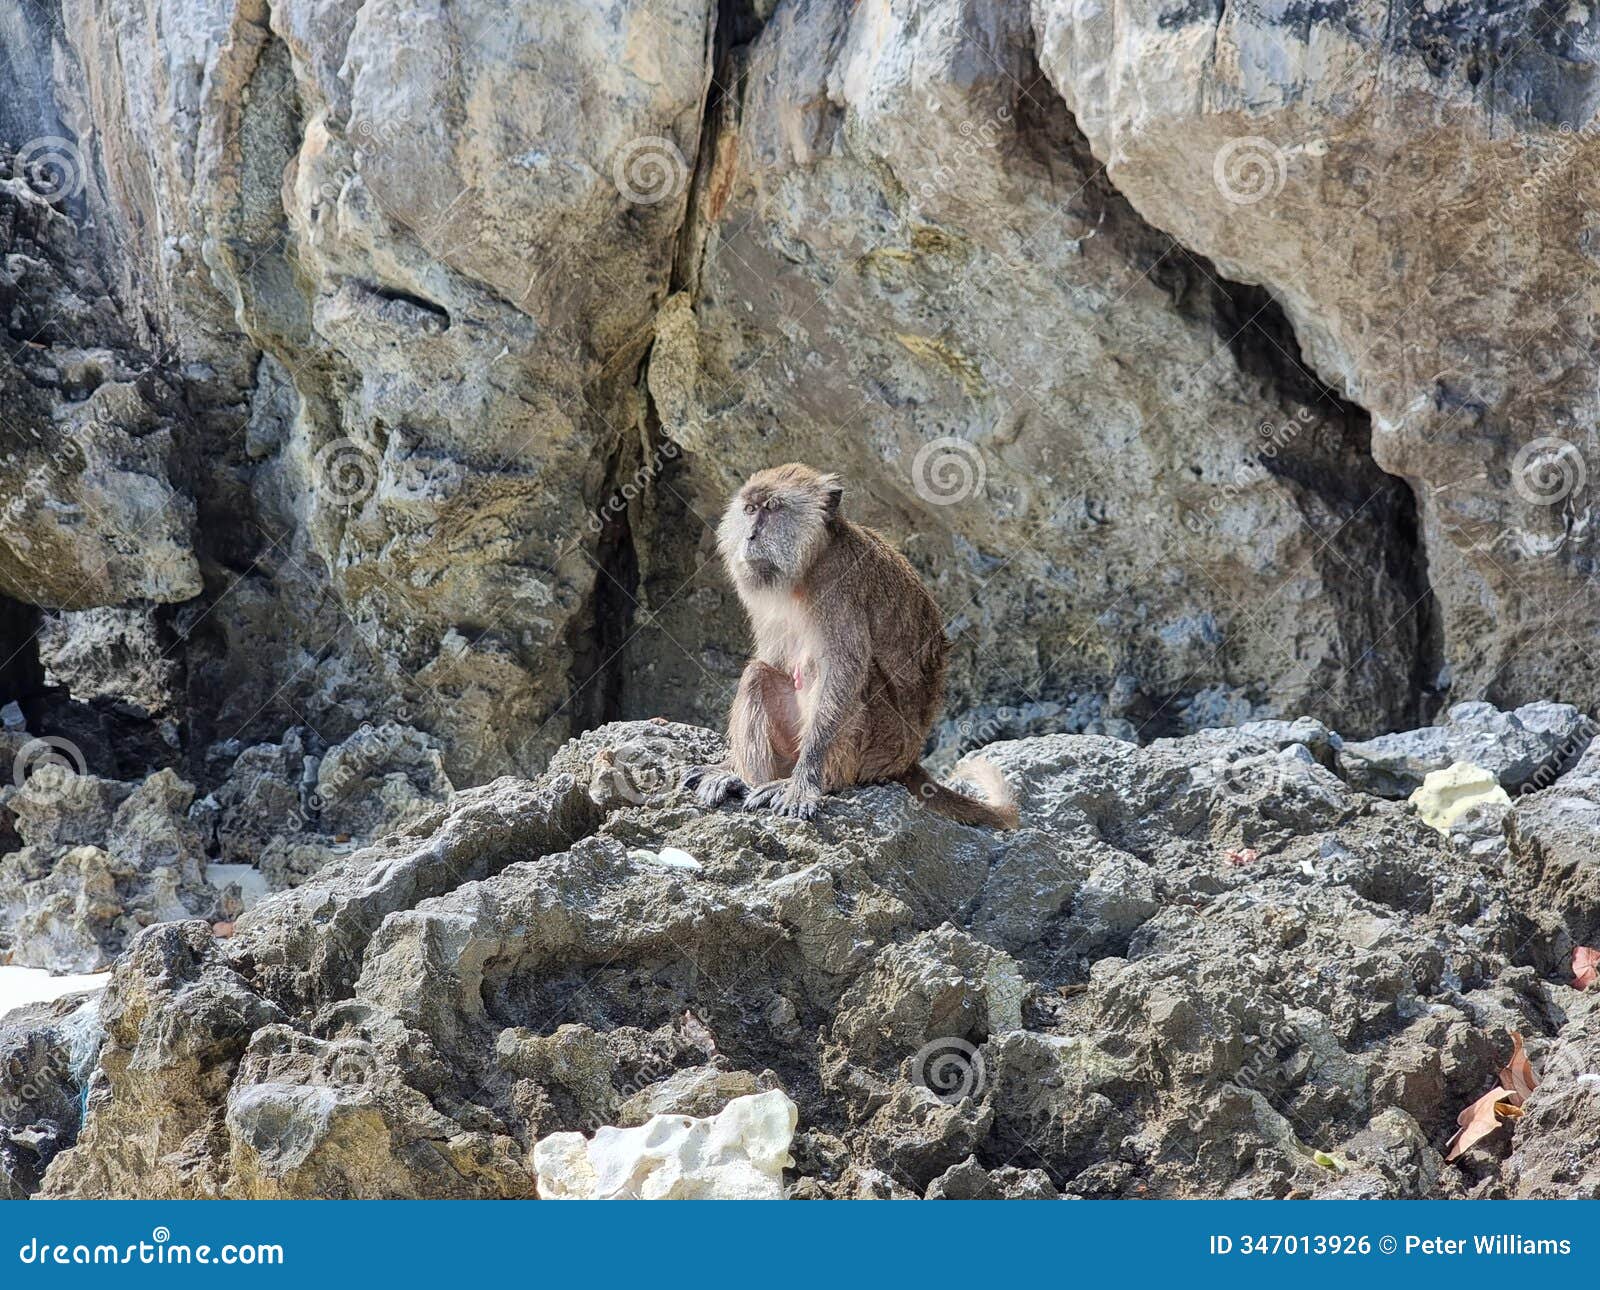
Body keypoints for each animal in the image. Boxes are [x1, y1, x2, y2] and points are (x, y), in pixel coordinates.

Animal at [683, 463, 1019, 829]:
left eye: (772, 508)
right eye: (749, 510)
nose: (750, 537)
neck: (811, 562)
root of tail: (907, 760)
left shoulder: (839, 586)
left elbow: (842, 674)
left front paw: (804, 783)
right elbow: (774, 659)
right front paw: (728, 768)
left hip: (878, 749)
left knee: (854, 682)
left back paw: (814, 780)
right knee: (758, 674)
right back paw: (745, 780)